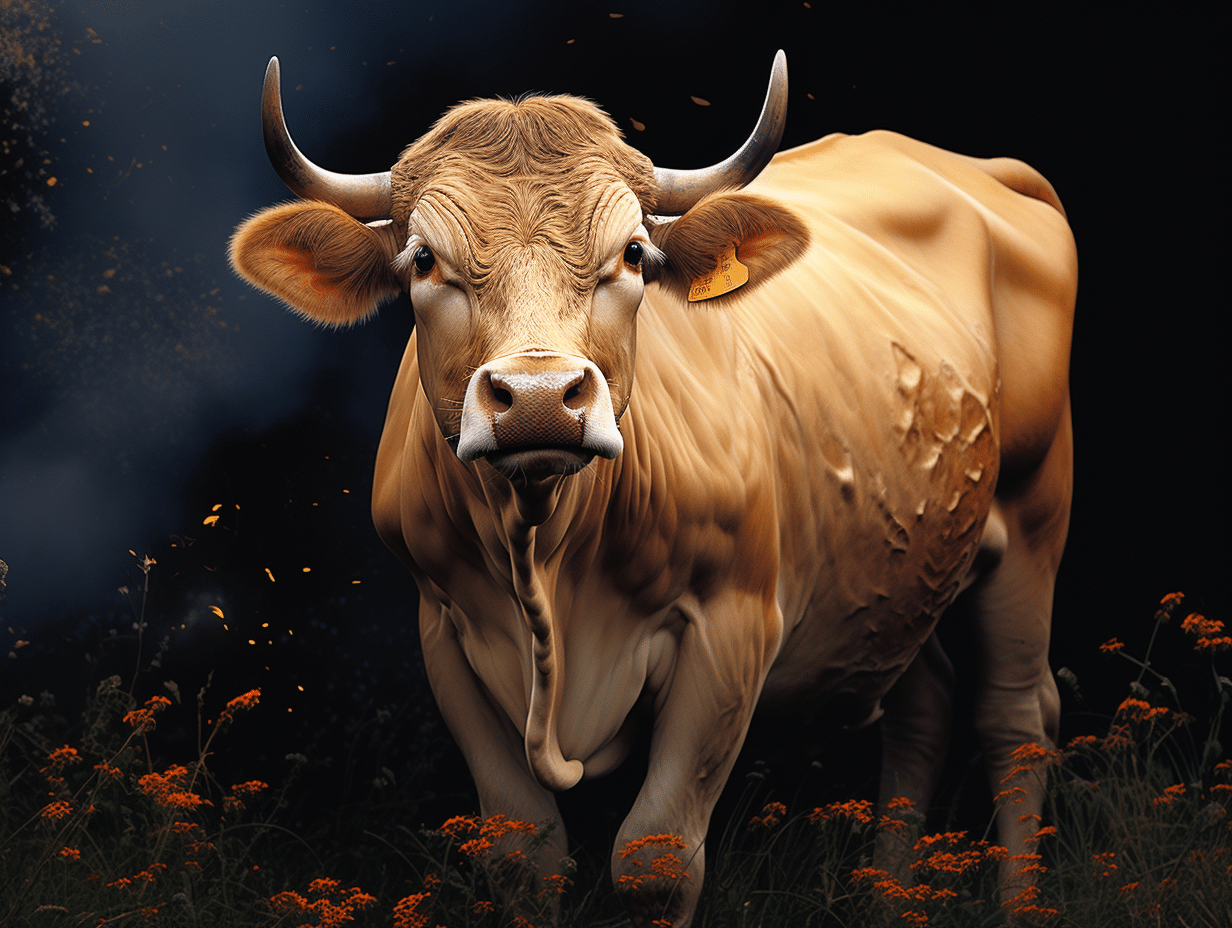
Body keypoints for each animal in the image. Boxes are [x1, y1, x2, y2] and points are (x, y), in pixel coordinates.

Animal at [230, 53, 1076, 926]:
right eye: (425, 261)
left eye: (634, 255)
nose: (539, 398)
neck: (550, 555)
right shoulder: (444, 626)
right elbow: (523, 854)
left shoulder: (734, 625)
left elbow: (656, 856)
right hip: (902, 570)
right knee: (924, 705)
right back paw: (887, 899)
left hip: (1034, 519)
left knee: (1015, 715)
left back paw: (1022, 905)